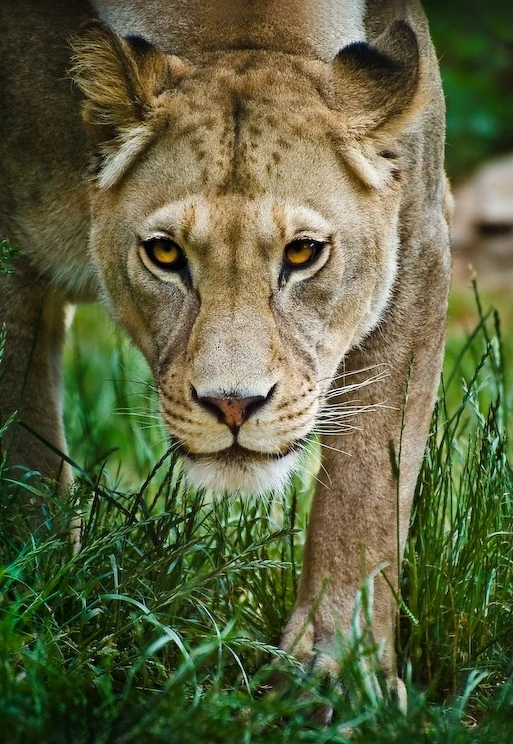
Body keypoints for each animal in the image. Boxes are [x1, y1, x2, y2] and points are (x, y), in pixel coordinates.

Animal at [0, 0, 451, 703]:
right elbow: (25, 456)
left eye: (302, 252)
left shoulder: (421, 240)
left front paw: (338, 676)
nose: (234, 405)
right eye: (165, 253)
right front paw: (37, 623)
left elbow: (369, 484)